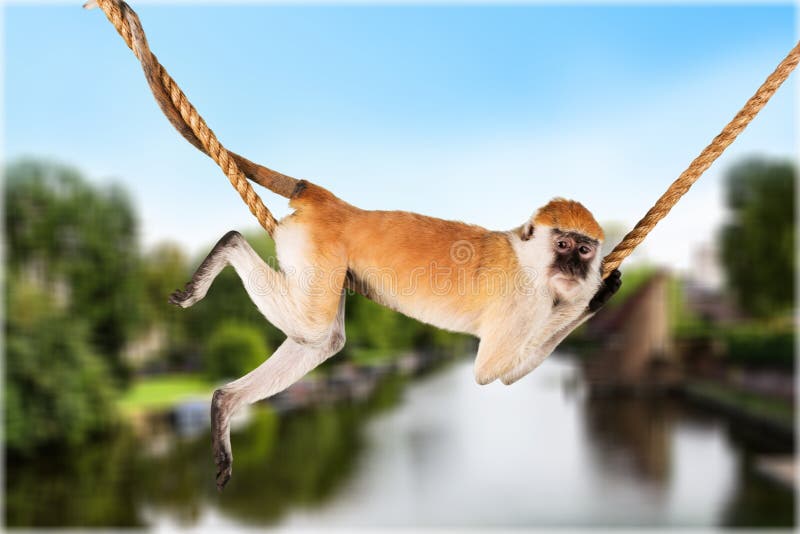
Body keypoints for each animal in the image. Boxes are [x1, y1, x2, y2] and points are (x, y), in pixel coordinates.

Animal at [169, 182, 622, 489]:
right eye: (563, 244)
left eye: (584, 249)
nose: (574, 268)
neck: (525, 257)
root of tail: (336, 207)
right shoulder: (525, 298)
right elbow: (491, 371)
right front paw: (594, 294)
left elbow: (504, 373)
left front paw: (601, 290)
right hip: (315, 246)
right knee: (315, 327)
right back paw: (230, 243)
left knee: (324, 339)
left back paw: (223, 402)